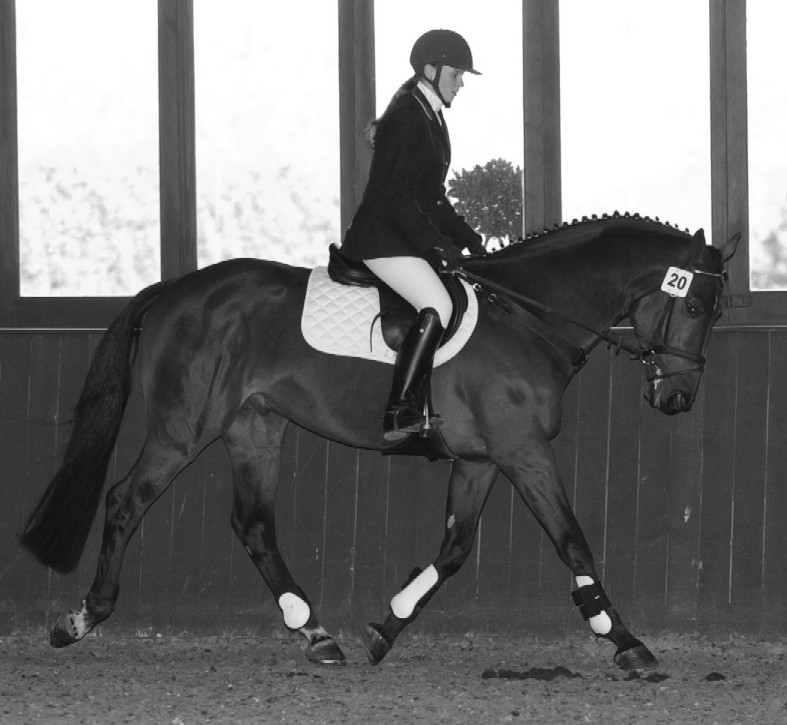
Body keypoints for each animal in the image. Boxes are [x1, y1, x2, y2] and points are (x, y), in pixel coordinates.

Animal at [20, 213, 739, 671]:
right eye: (694, 307)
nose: (676, 398)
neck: (528, 314)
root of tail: (174, 289)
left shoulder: (482, 459)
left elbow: (453, 550)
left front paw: (384, 630)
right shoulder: (523, 451)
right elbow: (572, 541)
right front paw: (625, 641)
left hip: (255, 426)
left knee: (252, 524)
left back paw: (316, 635)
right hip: (183, 426)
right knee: (124, 502)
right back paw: (78, 619)